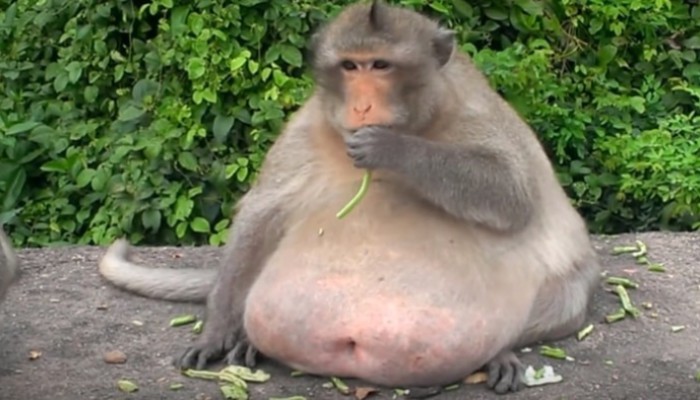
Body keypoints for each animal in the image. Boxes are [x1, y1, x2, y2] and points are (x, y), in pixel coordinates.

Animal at [98, 0, 601, 394]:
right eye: (349, 66)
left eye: (380, 65)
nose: (361, 105)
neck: (419, 119)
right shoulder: (309, 126)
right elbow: (260, 215)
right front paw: (218, 330)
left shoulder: (474, 110)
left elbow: (511, 193)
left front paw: (392, 149)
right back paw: (249, 340)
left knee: (568, 293)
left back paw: (497, 353)